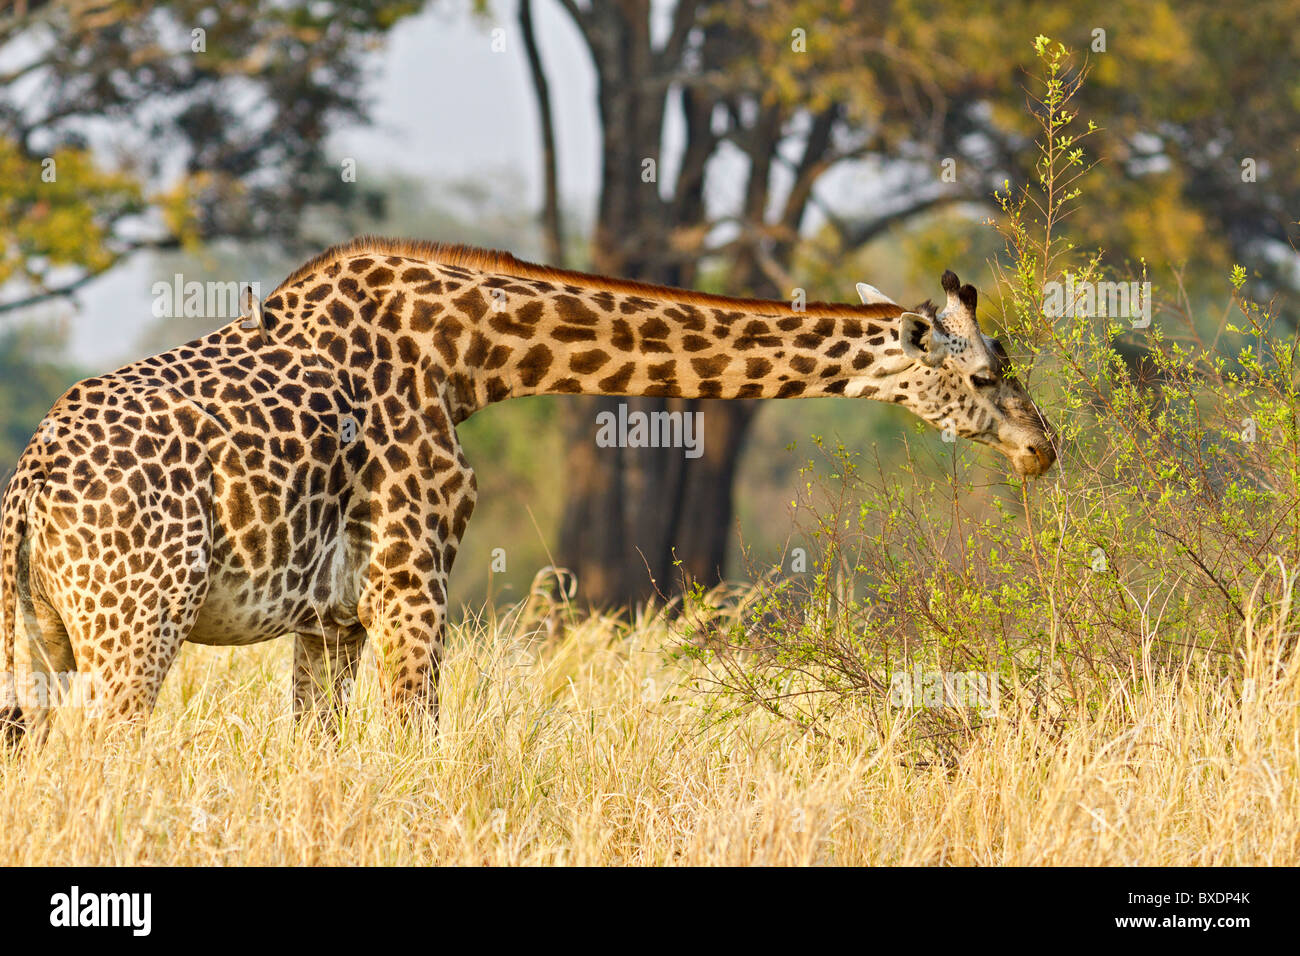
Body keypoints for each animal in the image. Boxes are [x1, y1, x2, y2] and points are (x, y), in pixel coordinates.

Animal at [0, 238, 1055, 742]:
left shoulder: (331, 617)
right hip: (136, 623)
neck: (468, 358)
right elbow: (416, 738)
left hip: (39, 638)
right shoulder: (409, 581)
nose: (1041, 447)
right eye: (987, 373)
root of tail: (29, 485)